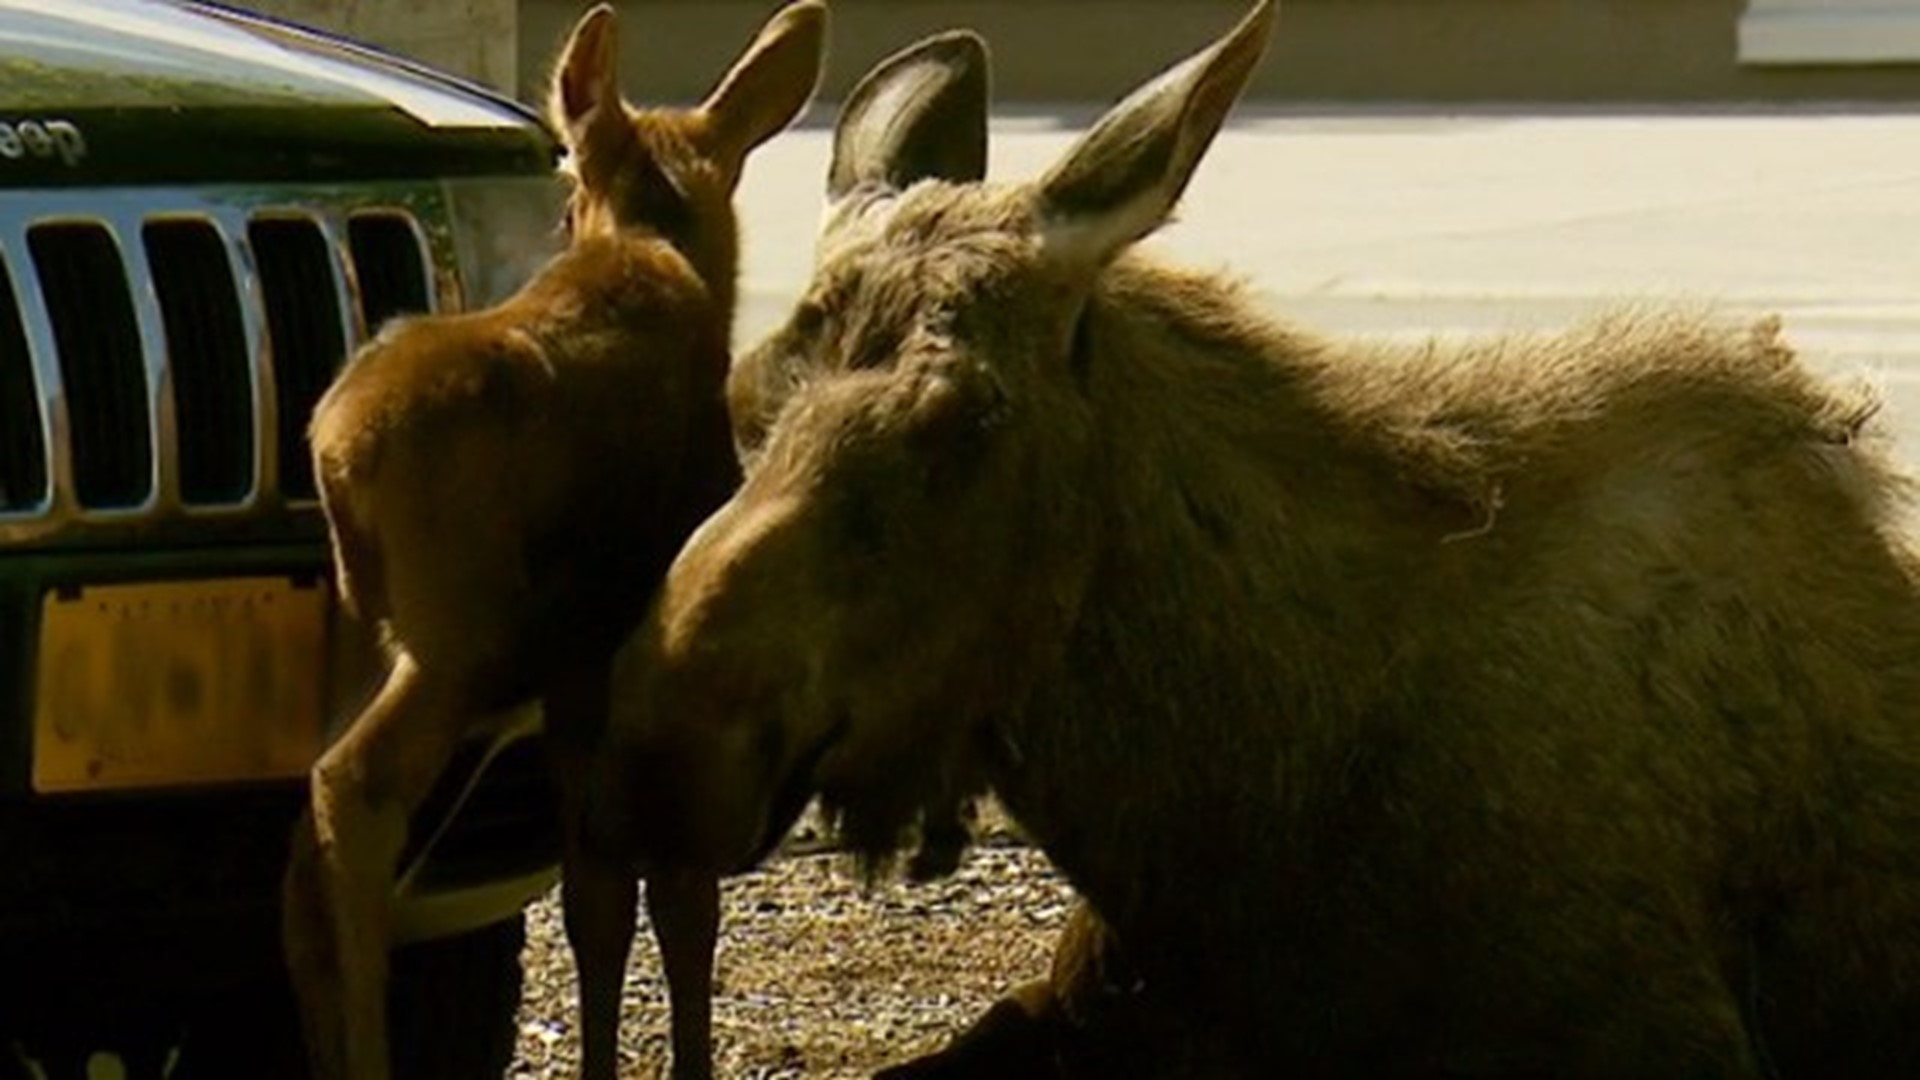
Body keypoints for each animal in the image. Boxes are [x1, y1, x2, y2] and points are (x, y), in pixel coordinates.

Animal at [278, 4, 827, 1078]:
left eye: (569, 198)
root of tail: (334, 453)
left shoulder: (578, 673)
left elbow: (594, 901)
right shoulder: (630, 649)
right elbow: (679, 896)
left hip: (362, 637)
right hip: (456, 640)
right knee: (349, 793)